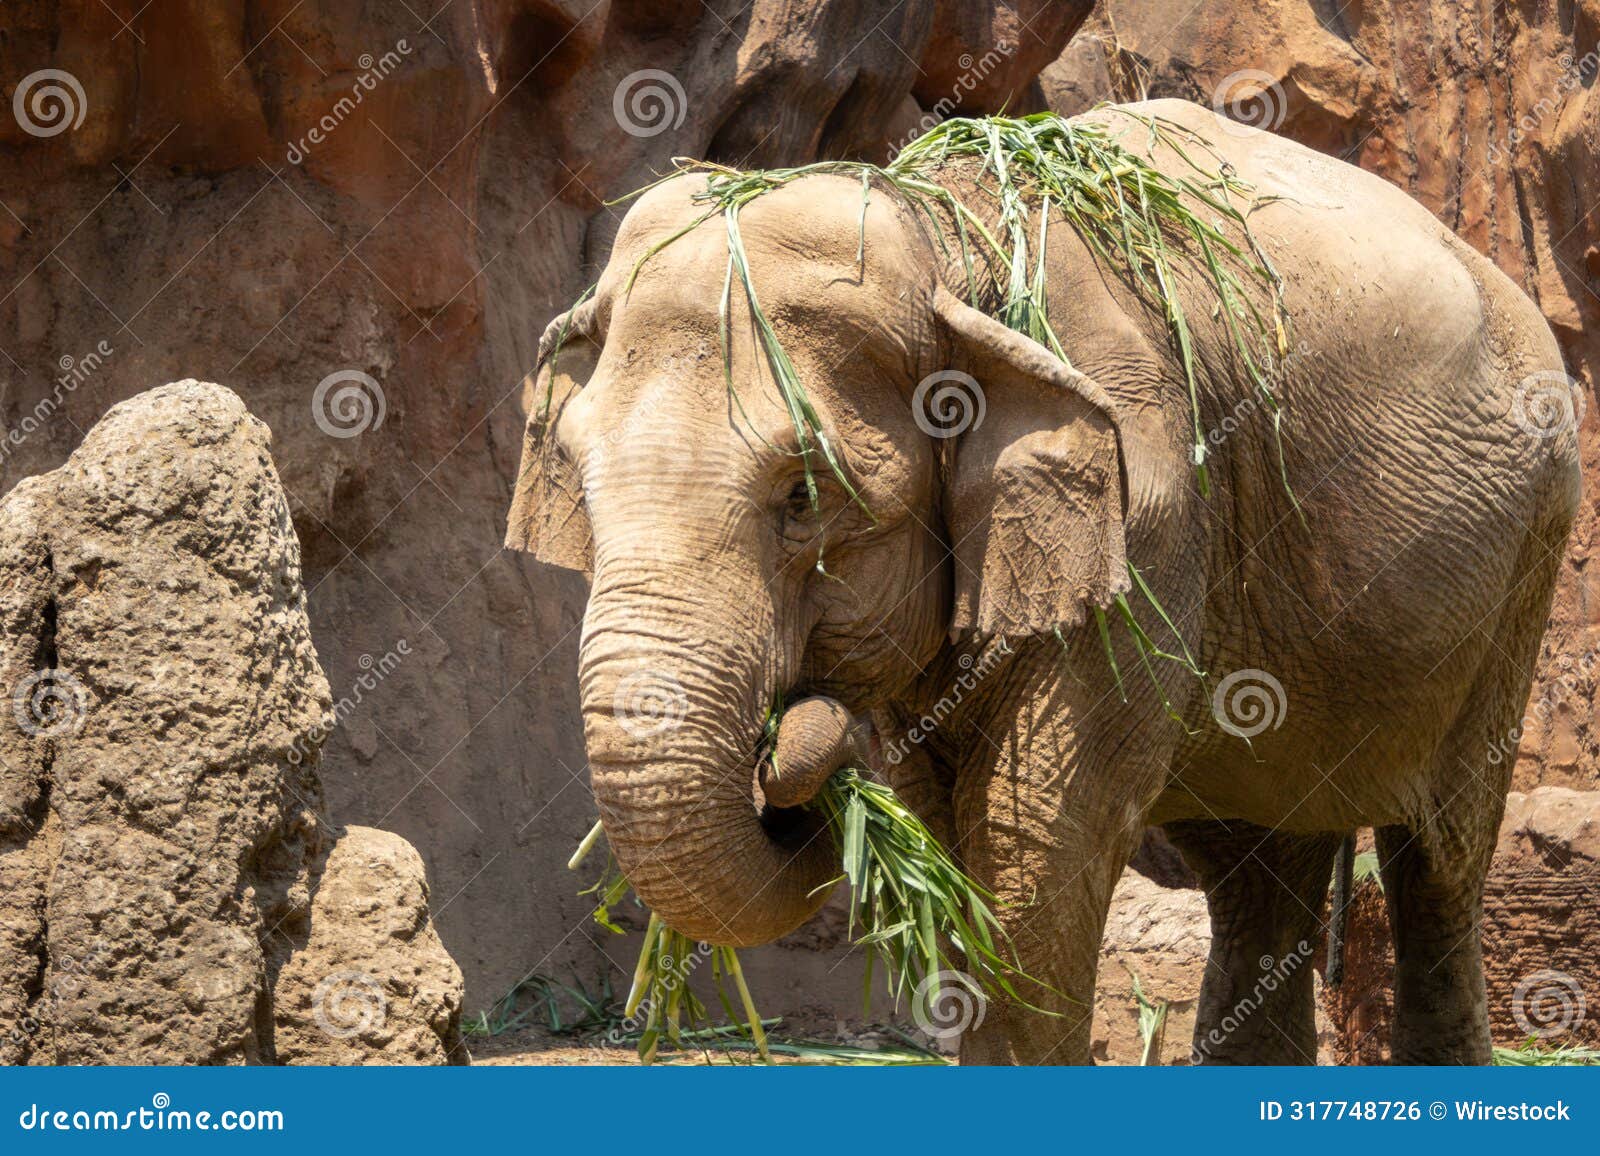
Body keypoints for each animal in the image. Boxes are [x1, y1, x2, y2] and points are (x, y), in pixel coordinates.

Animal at [506, 99, 1581, 1065]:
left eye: (804, 493)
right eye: (578, 481)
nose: (789, 744)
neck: (946, 238)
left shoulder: (1147, 508)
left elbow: (1033, 831)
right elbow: (942, 827)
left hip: (1524, 571)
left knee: (1439, 857)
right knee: (1260, 862)